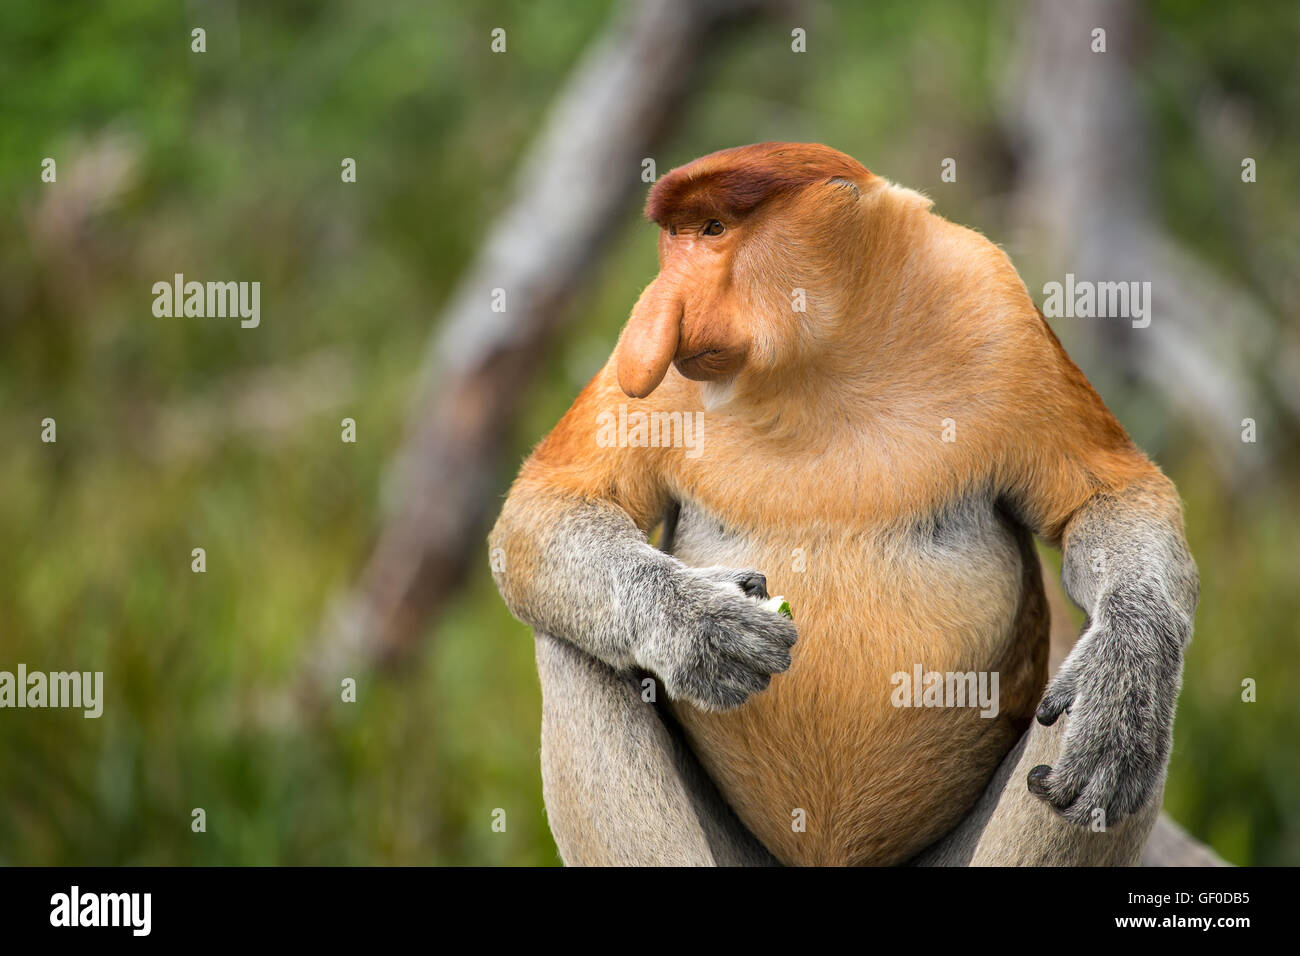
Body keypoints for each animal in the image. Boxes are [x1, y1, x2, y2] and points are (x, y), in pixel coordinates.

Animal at [489, 143, 1197, 866]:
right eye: (675, 238)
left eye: (713, 230)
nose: (658, 308)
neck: (823, 357)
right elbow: (549, 503)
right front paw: (704, 626)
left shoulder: (999, 309)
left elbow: (1109, 496)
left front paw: (1123, 689)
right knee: (572, 652)